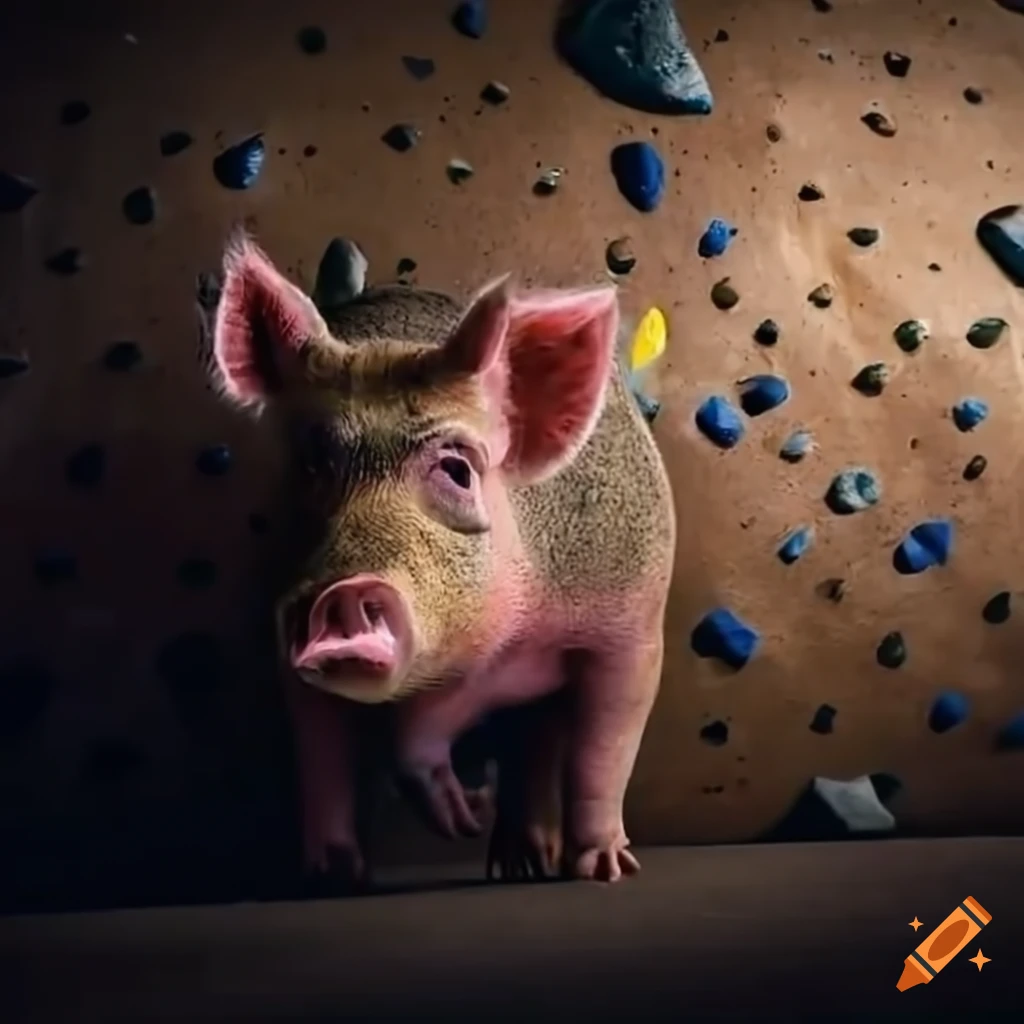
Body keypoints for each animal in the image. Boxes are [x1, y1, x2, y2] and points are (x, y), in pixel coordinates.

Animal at [199, 229, 676, 884]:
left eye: (457, 469)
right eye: (312, 466)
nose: (339, 592)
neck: (519, 639)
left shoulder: (633, 623)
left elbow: (606, 748)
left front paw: (607, 869)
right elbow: (361, 746)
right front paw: (445, 825)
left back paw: (526, 865)